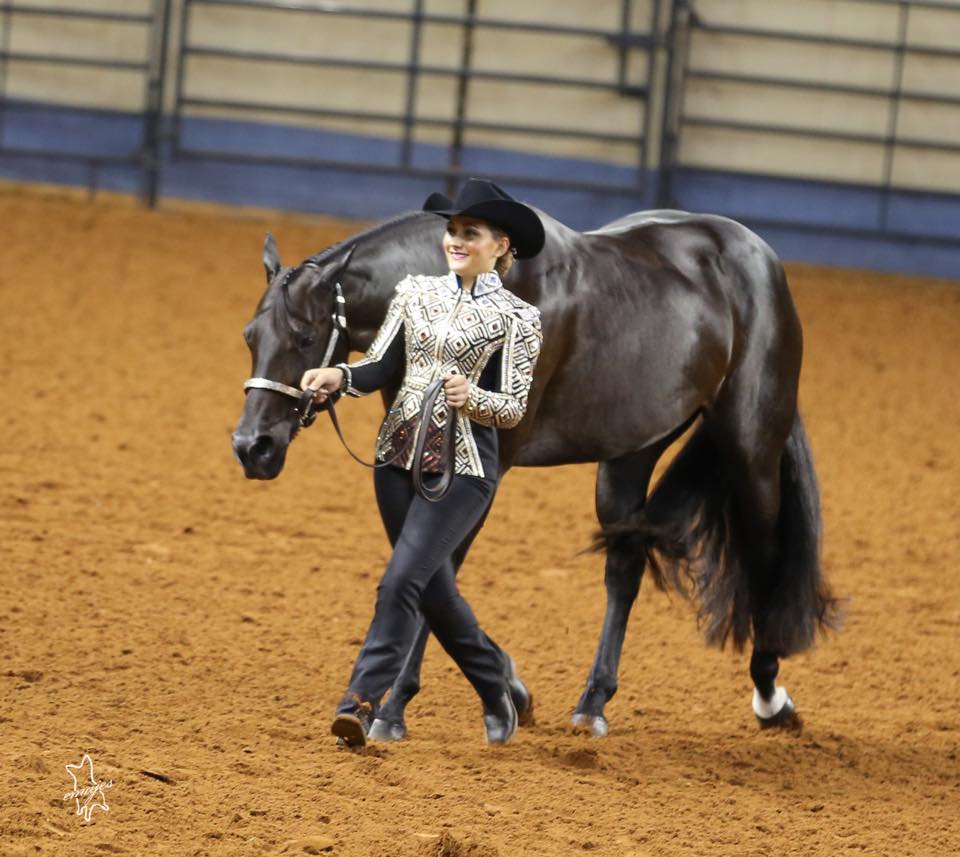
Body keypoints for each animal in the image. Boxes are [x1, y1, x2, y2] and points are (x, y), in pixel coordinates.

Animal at [232, 206, 837, 739]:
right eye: (250, 336)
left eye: (305, 337)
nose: (251, 447)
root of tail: (758, 255)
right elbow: (432, 572)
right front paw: (511, 688)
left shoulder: (477, 472)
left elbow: (433, 570)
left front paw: (395, 709)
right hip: (630, 454)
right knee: (626, 566)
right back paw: (592, 704)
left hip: (751, 451)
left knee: (764, 556)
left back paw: (771, 696)